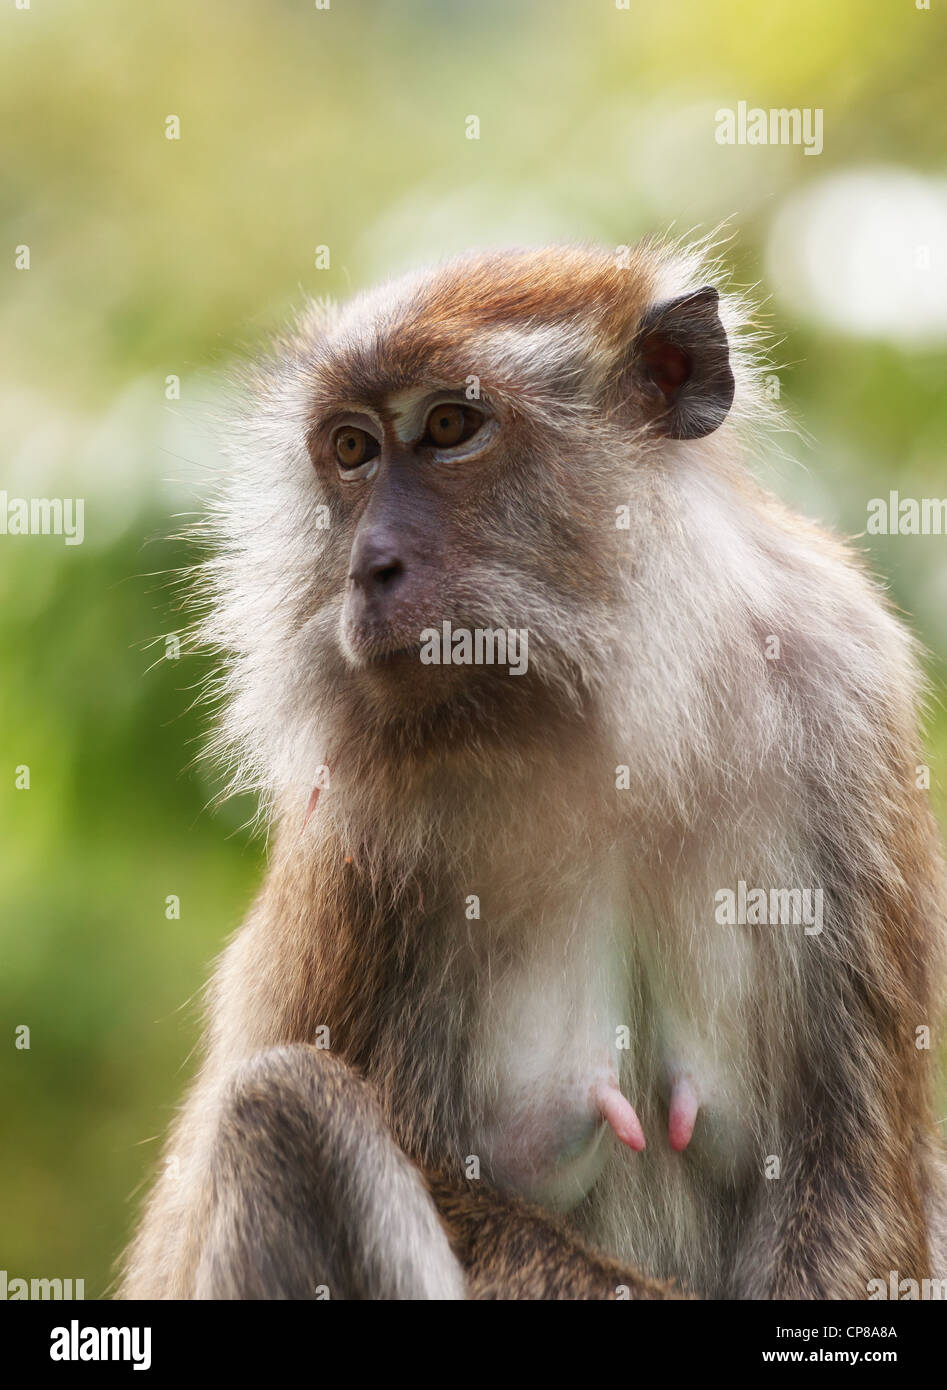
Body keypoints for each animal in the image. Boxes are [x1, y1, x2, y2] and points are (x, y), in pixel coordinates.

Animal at [119, 241, 947, 1300]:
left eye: (448, 427)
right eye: (350, 450)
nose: (366, 567)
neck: (615, 715)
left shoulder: (844, 689)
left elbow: (853, 1178)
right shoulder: (367, 820)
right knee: (286, 1106)